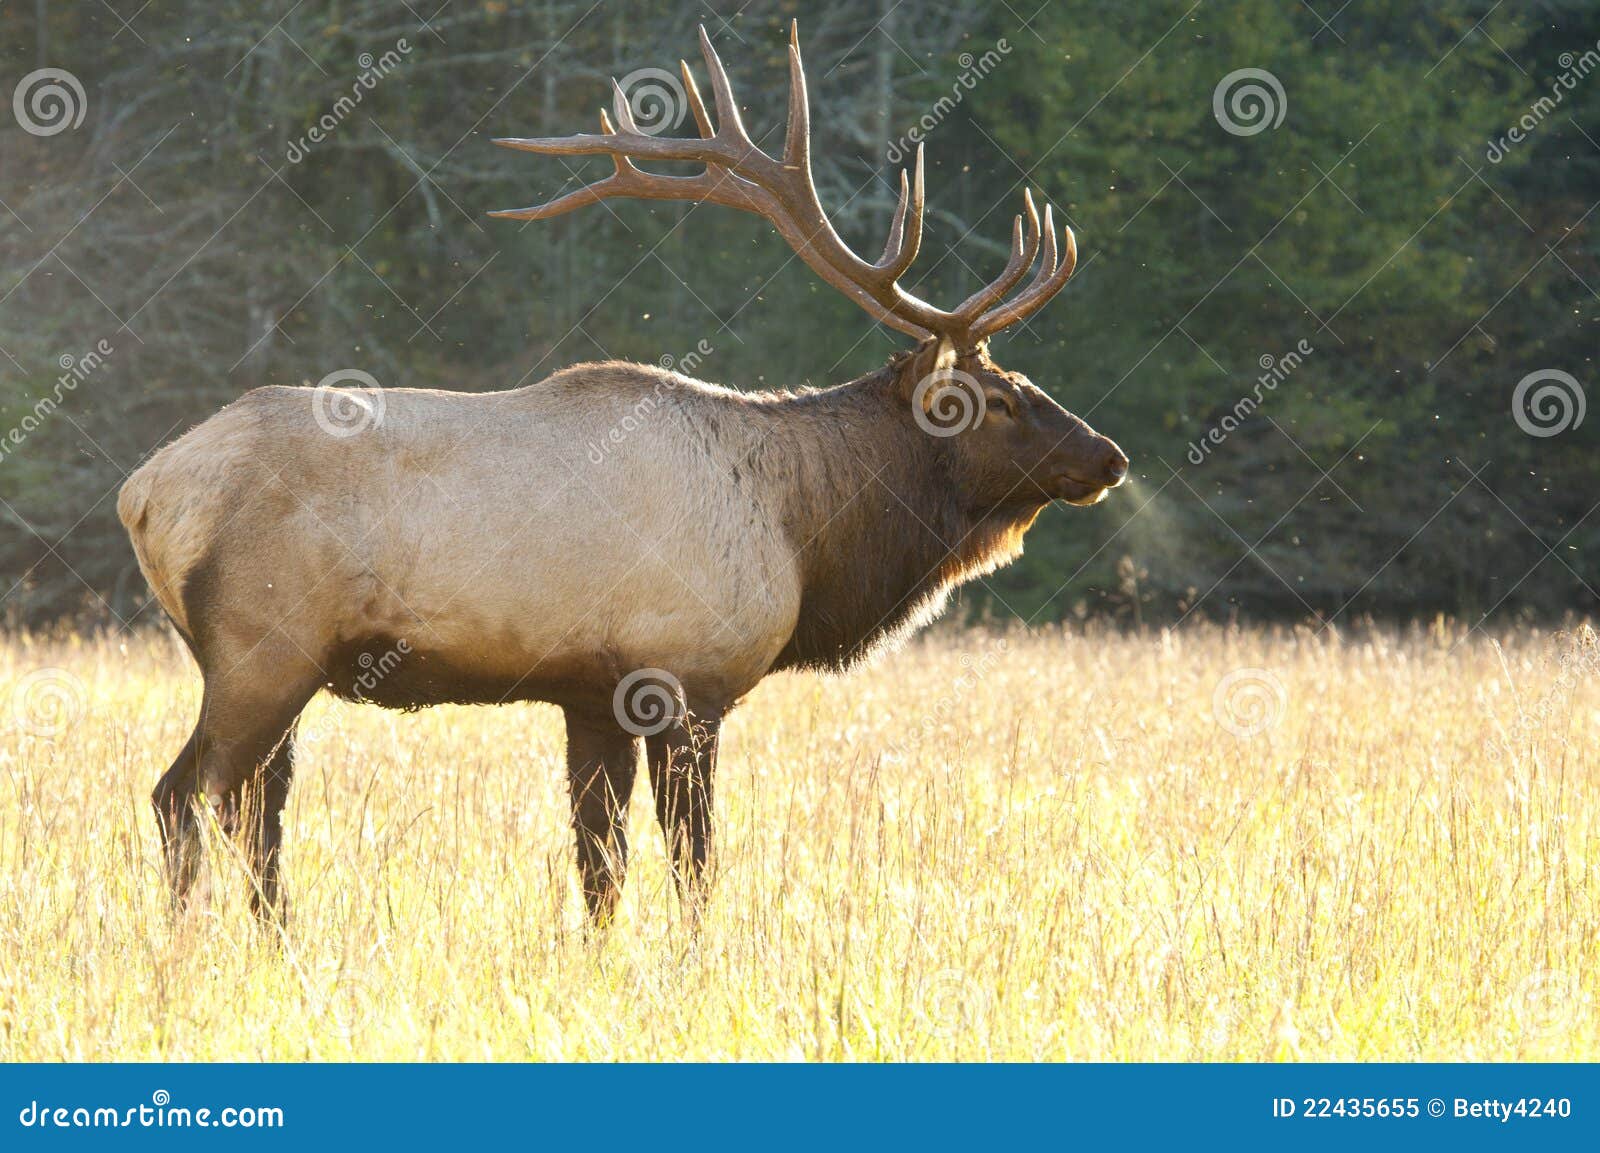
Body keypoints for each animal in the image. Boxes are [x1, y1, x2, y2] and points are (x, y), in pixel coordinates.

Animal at [117, 23, 1127, 929]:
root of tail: (144, 492)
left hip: (267, 665)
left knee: (244, 807)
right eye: (998, 398)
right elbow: (694, 864)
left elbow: (600, 867)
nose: (1109, 457)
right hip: (262, 648)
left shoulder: (590, 696)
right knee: (190, 795)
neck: (801, 533)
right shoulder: (685, 678)